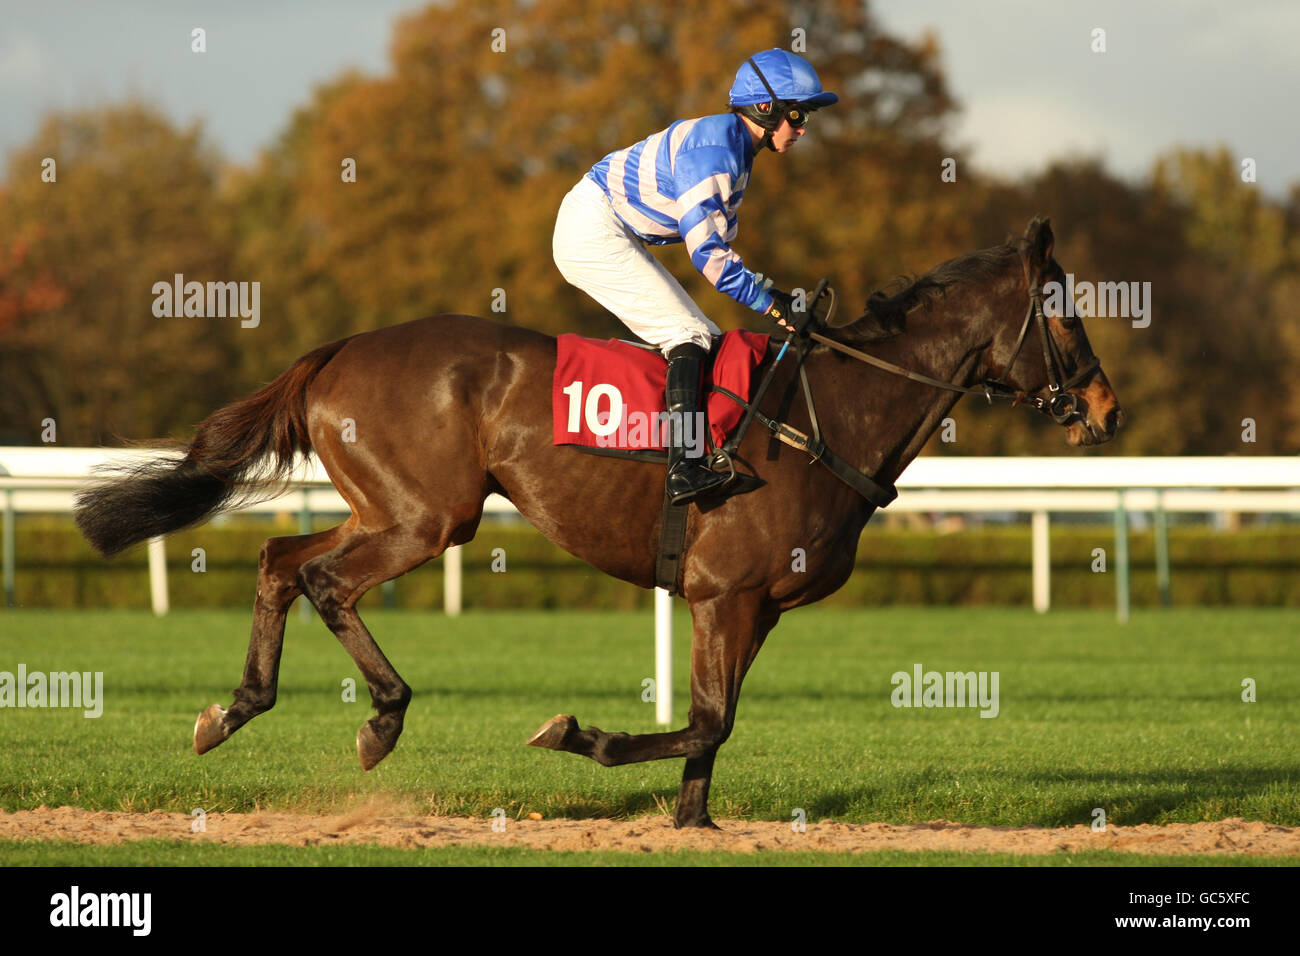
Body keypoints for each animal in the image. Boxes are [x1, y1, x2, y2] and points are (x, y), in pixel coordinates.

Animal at [74, 216, 1123, 829]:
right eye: (1067, 312)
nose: (1108, 410)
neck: (830, 411)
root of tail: (341, 349)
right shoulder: (724, 592)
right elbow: (705, 720)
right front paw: (579, 735)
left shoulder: (751, 605)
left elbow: (712, 726)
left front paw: (693, 823)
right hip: (428, 518)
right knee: (323, 578)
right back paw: (379, 719)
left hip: (394, 509)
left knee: (280, 558)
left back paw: (235, 708)